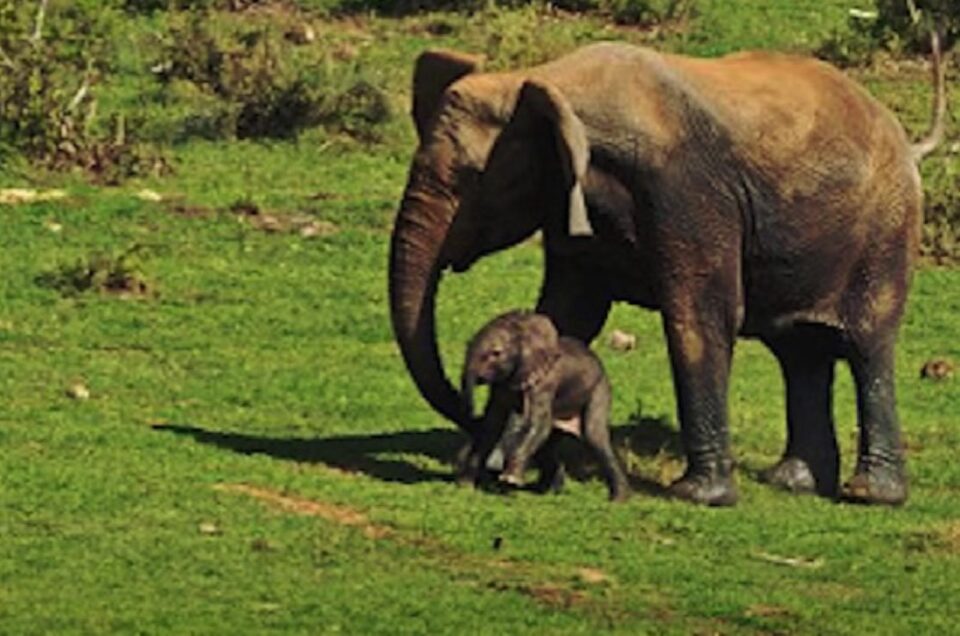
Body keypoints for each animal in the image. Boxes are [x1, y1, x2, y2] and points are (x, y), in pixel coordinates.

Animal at [461, 310, 630, 501]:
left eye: (496, 353)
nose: (471, 408)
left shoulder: (546, 383)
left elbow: (538, 424)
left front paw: (509, 480)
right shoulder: (500, 386)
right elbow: (492, 424)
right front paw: (465, 486)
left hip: (599, 390)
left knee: (594, 435)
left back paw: (618, 500)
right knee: (547, 444)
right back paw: (547, 491)